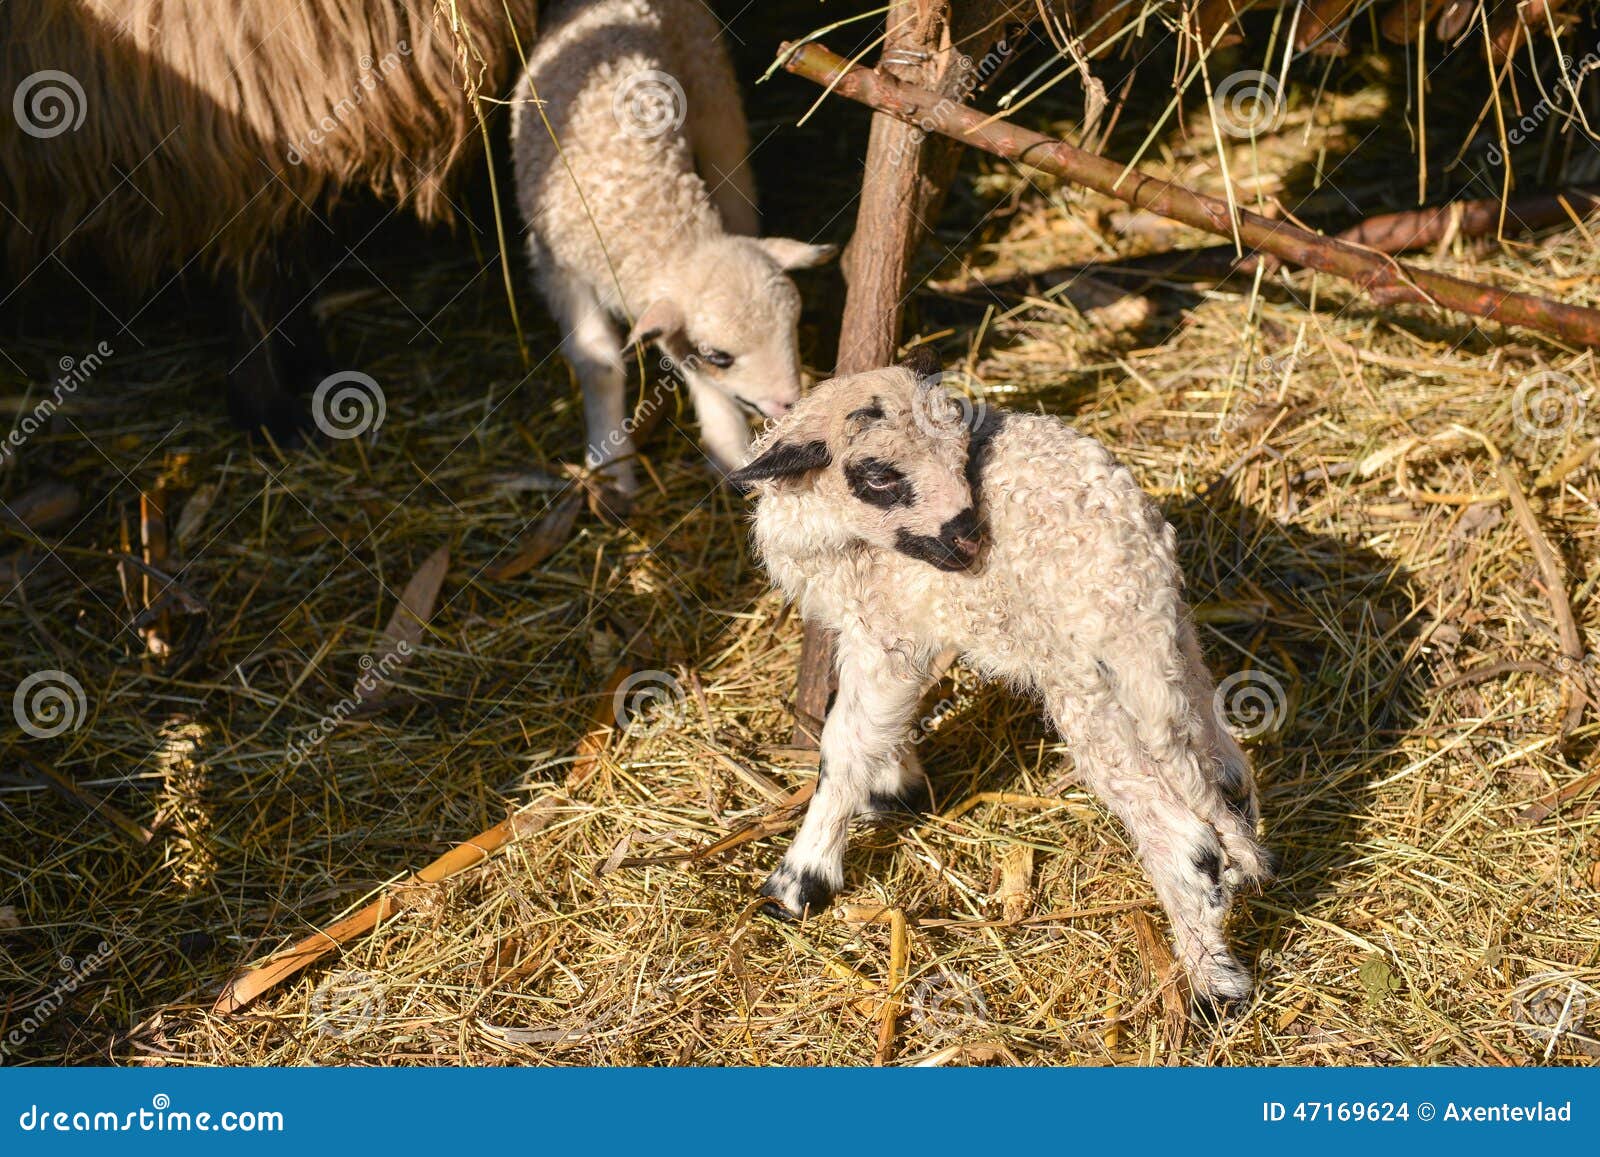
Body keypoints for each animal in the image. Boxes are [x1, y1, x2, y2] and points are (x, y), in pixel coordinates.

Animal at [510, 0, 835, 500]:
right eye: (720, 355)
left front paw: (729, 449)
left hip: (713, 90)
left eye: (794, 325)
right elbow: (598, 362)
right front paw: (611, 471)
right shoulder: (557, 267)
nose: (789, 402)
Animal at [728, 351, 1274, 1002]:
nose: (968, 539)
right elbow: (879, 725)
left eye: (959, 455)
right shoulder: (906, 626)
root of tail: (1134, 588)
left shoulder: (887, 634)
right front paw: (897, 784)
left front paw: (800, 879)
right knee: (1228, 778)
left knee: (1187, 843)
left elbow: (846, 742)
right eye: (878, 476)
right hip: (1172, 671)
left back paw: (1213, 986)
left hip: (1091, 692)